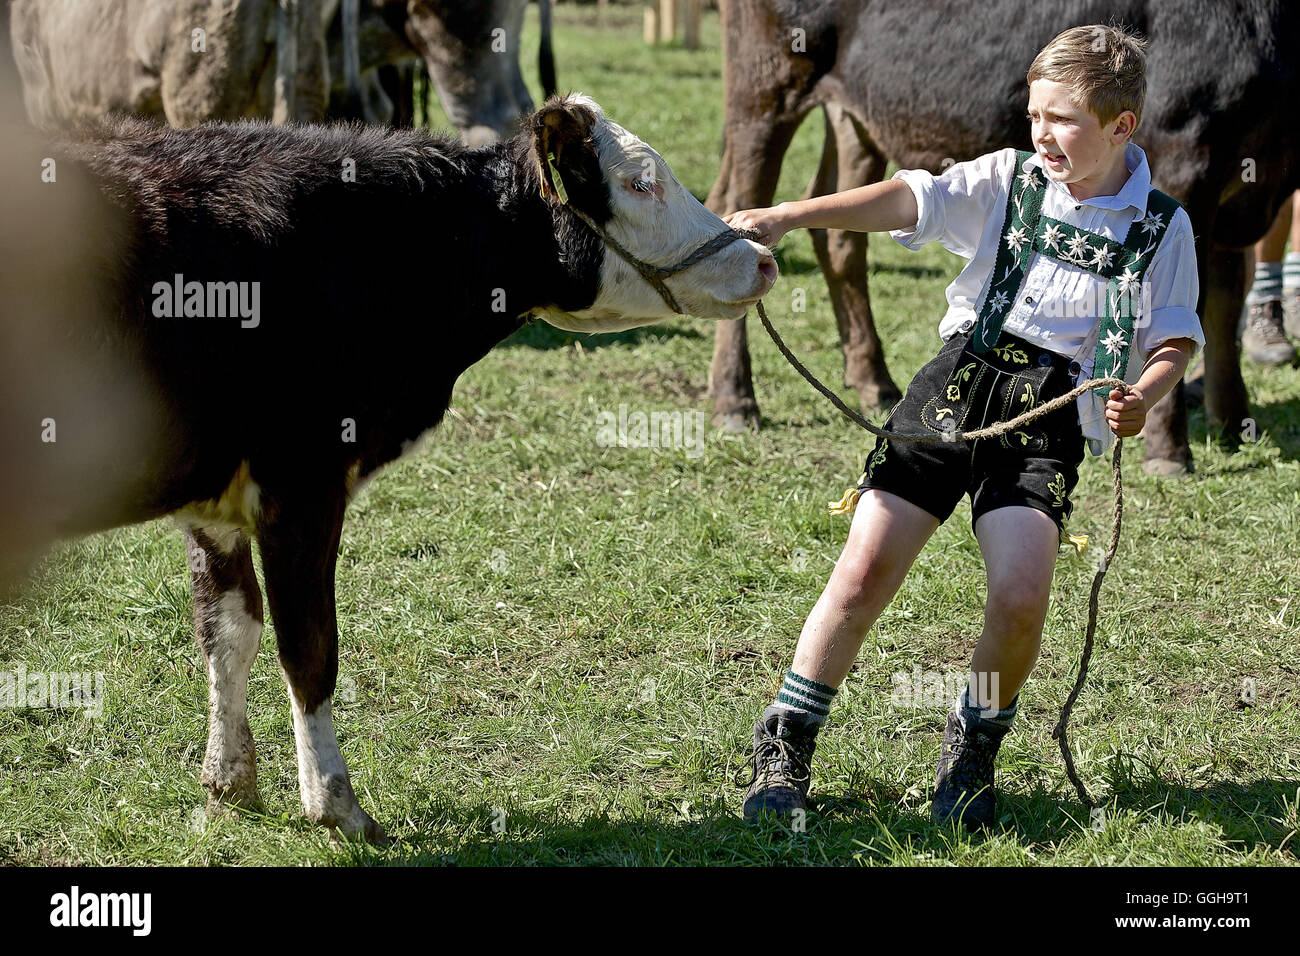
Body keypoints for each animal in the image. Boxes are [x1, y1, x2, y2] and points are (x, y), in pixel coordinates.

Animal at [0, 93, 777, 841]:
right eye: (642, 182)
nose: (764, 258)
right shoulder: (301, 485)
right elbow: (309, 649)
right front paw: (335, 806)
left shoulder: (215, 498)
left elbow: (228, 632)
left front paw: (230, 782)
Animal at [706, 0, 1300, 475]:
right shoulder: (1187, 155)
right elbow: (1194, 307)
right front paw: (1171, 451)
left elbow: (1223, 300)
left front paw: (1234, 421)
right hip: (766, 85)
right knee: (741, 205)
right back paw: (735, 399)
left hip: (855, 117)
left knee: (840, 238)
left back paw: (873, 378)